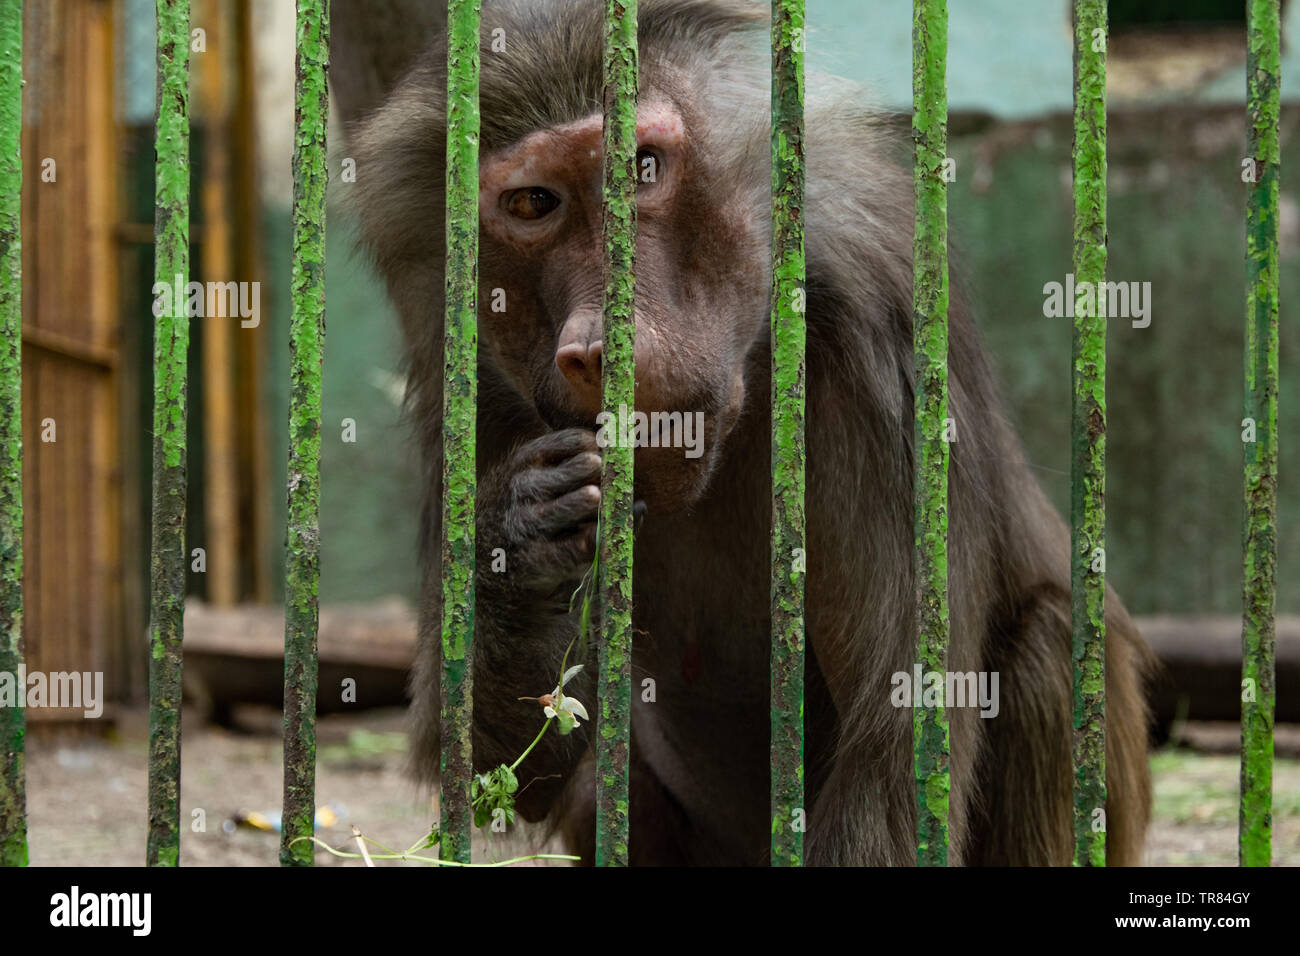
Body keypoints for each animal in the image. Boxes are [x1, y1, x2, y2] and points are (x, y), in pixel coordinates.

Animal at [331, 0, 1153, 865]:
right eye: (532, 205)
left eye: (642, 167)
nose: (604, 344)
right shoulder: (472, 381)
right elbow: (510, 773)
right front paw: (520, 538)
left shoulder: (879, 338)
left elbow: (890, 764)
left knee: (1050, 651)